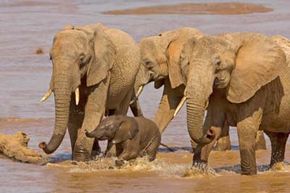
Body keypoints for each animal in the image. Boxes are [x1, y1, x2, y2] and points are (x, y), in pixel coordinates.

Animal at [38, 23, 143, 161]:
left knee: (120, 109)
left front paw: (80, 159)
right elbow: (73, 112)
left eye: (81, 59)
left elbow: (93, 109)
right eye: (51, 58)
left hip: (130, 82)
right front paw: (80, 158)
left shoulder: (103, 71)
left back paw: (110, 155)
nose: (42, 144)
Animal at [179, 32, 290, 175]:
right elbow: (214, 122)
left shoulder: (257, 88)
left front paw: (249, 175)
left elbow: (245, 130)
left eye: (218, 63)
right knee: (277, 137)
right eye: (188, 63)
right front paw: (197, 172)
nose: (209, 133)